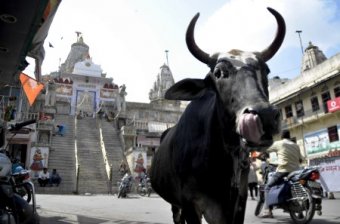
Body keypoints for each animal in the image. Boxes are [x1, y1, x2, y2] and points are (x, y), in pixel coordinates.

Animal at [150, 7, 286, 224]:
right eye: (219, 72)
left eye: (265, 70)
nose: (265, 116)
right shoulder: (190, 204)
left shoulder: (239, 201)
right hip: (175, 203)